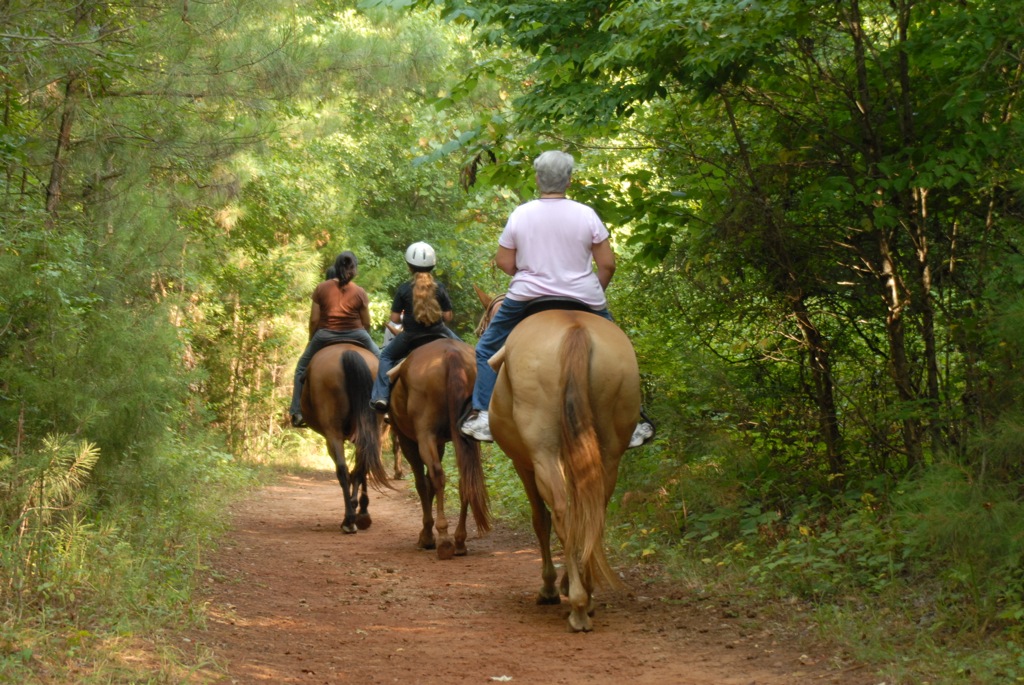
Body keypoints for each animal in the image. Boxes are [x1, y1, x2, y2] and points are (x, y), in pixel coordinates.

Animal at [300, 343, 392, 533]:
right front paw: (362, 512)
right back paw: (357, 515)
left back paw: (349, 520)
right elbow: (361, 469)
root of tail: (348, 351)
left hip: (333, 432)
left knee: (342, 469)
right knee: (361, 467)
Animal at [386, 337, 491, 559]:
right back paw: (459, 540)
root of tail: (451, 354)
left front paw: (426, 536)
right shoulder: (441, 442)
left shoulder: (410, 441)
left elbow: (422, 483)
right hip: (466, 435)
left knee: (437, 476)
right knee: (463, 479)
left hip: (424, 435)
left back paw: (444, 539)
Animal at [476, 288, 640, 632]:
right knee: (595, 510)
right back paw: (587, 595)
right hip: (610, 449)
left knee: (562, 511)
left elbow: (541, 519)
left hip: (543, 453)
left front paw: (552, 586)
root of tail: (575, 330)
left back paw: (577, 604)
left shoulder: (523, 463)